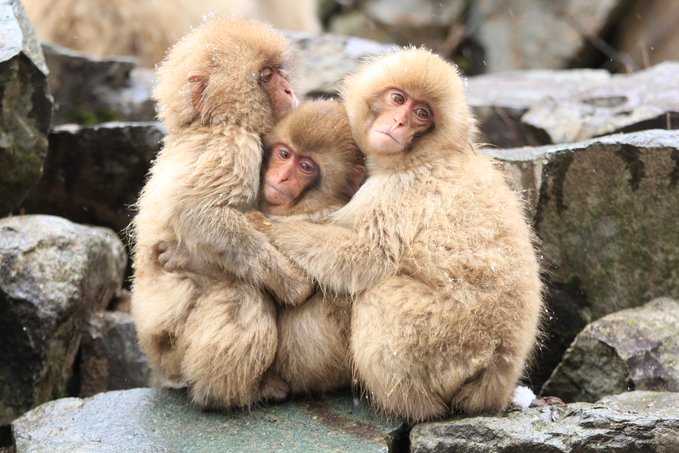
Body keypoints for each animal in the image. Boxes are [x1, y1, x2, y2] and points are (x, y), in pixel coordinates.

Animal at [130, 18, 313, 409]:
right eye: (266, 76)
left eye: (279, 71)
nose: (289, 89)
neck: (209, 123)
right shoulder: (232, 145)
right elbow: (201, 214)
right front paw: (294, 285)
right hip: (170, 343)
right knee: (242, 295)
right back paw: (233, 393)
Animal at [156, 99, 366, 398]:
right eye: (284, 154)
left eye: (305, 166)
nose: (283, 177)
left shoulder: (315, 217)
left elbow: (299, 286)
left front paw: (186, 258)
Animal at [261, 48, 544, 422]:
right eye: (398, 99)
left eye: (421, 114)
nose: (397, 123)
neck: (429, 153)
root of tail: (495, 370)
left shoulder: (398, 188)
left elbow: (365, 257)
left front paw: (264, 224)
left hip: (443, 340)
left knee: (379, 295)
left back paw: (410, 408)